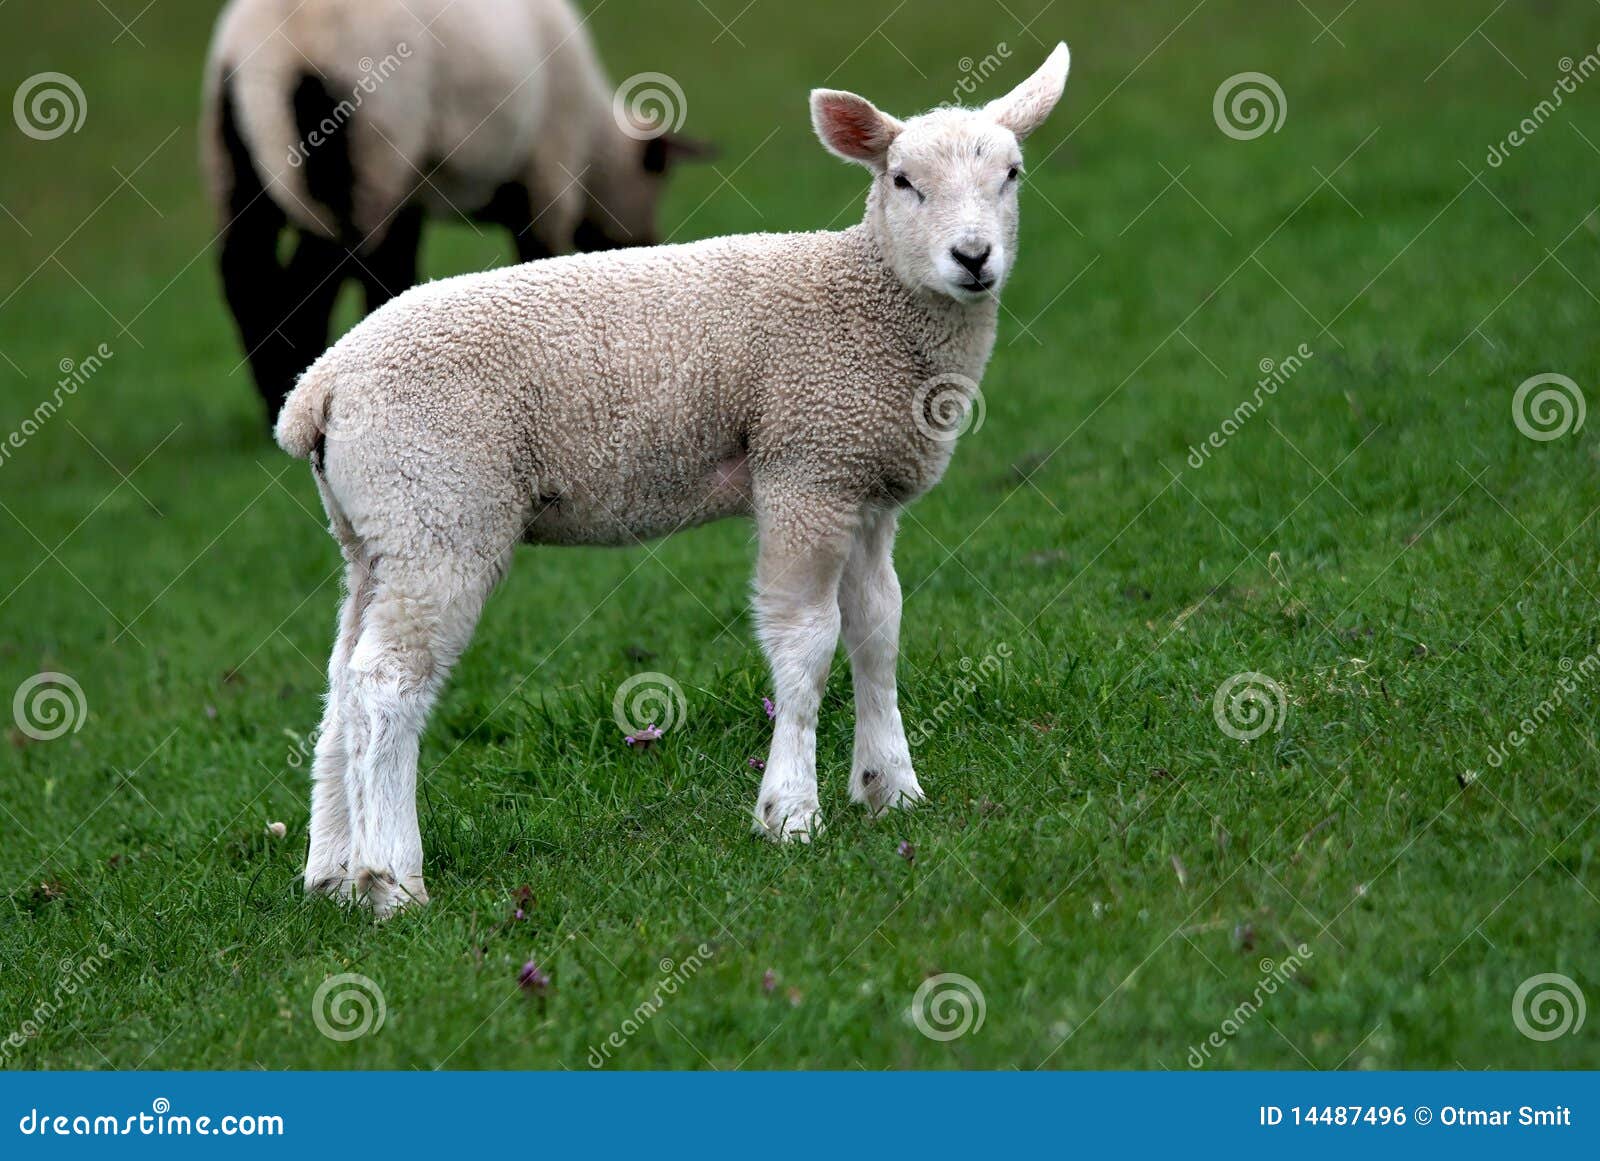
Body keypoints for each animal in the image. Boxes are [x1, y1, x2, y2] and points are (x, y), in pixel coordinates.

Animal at [201, 0, 712, 423]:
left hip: (234, 156)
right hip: (368, 149)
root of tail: (283, 42)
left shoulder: (413, 197)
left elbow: (402, 263)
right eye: (655, 181)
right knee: (334, 266)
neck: (594, 143)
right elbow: (537, 259)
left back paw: (277, 395)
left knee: (246, 271)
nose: (648, 244)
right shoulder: (547, 175)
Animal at [274, 43, 1072, 916]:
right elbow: (807, 639)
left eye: (1013, 174)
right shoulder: (806, 464)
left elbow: (878, 629)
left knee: (343, 680)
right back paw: (392, 879)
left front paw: (890, 788)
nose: (974, 258)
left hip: (374, 529)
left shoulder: (862, 482)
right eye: (902, 180)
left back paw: (331, 870)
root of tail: (319, 388)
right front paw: (790, 812)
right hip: (438, 507)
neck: (868, 302)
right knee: (387, 683)